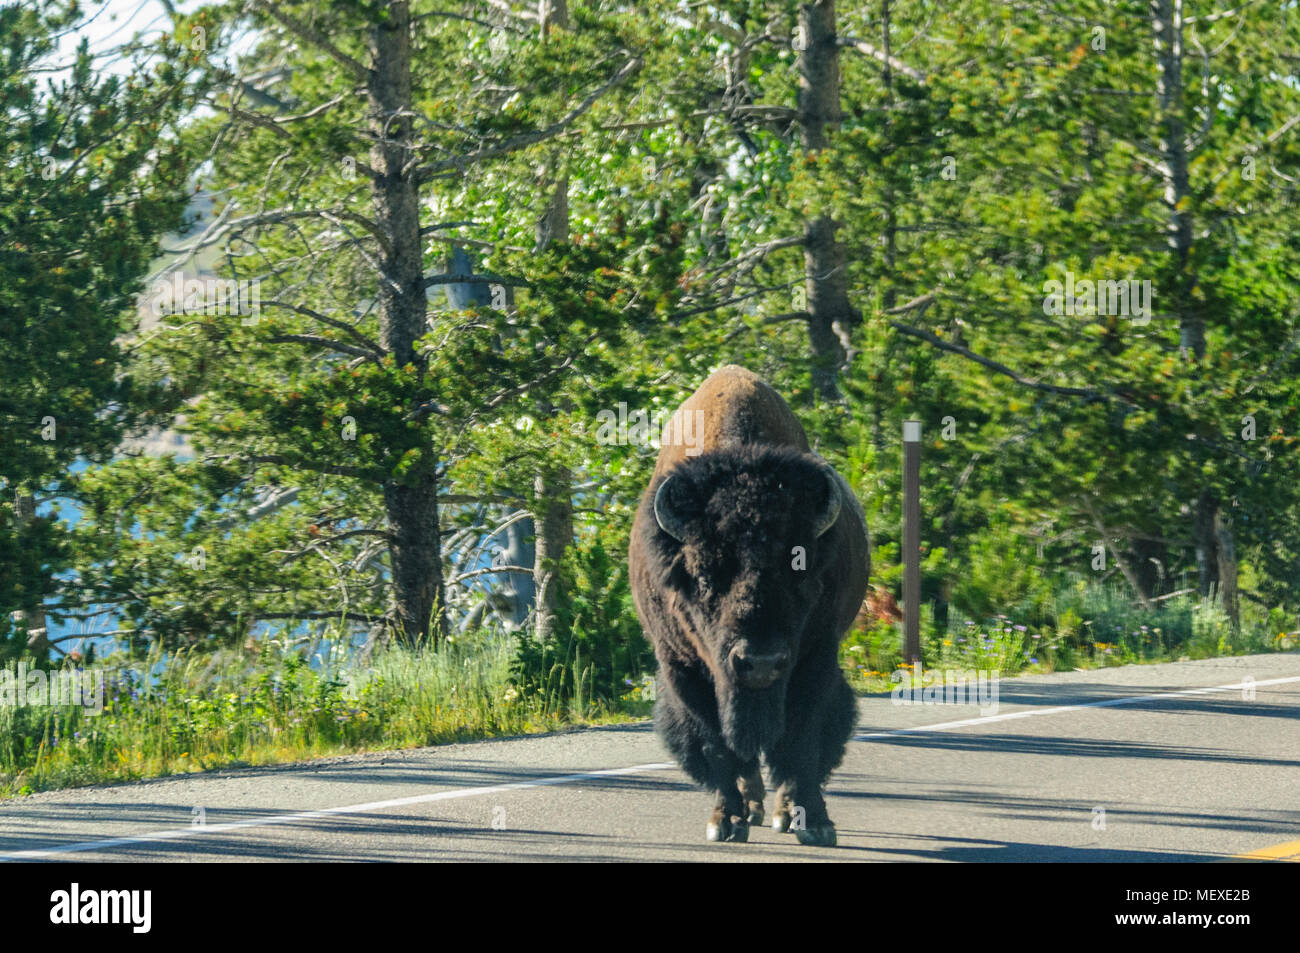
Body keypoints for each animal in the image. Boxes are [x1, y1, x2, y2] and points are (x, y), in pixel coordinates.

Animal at [629, 365, 869, 846]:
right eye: (703, 575)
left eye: (801, 573)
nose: (759, 662)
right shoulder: (683, 667)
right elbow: (716, 745)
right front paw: (724, 821)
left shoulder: (815, 659)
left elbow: (801, 742)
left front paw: (814, 823)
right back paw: (752, 809)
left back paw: (779, 813)